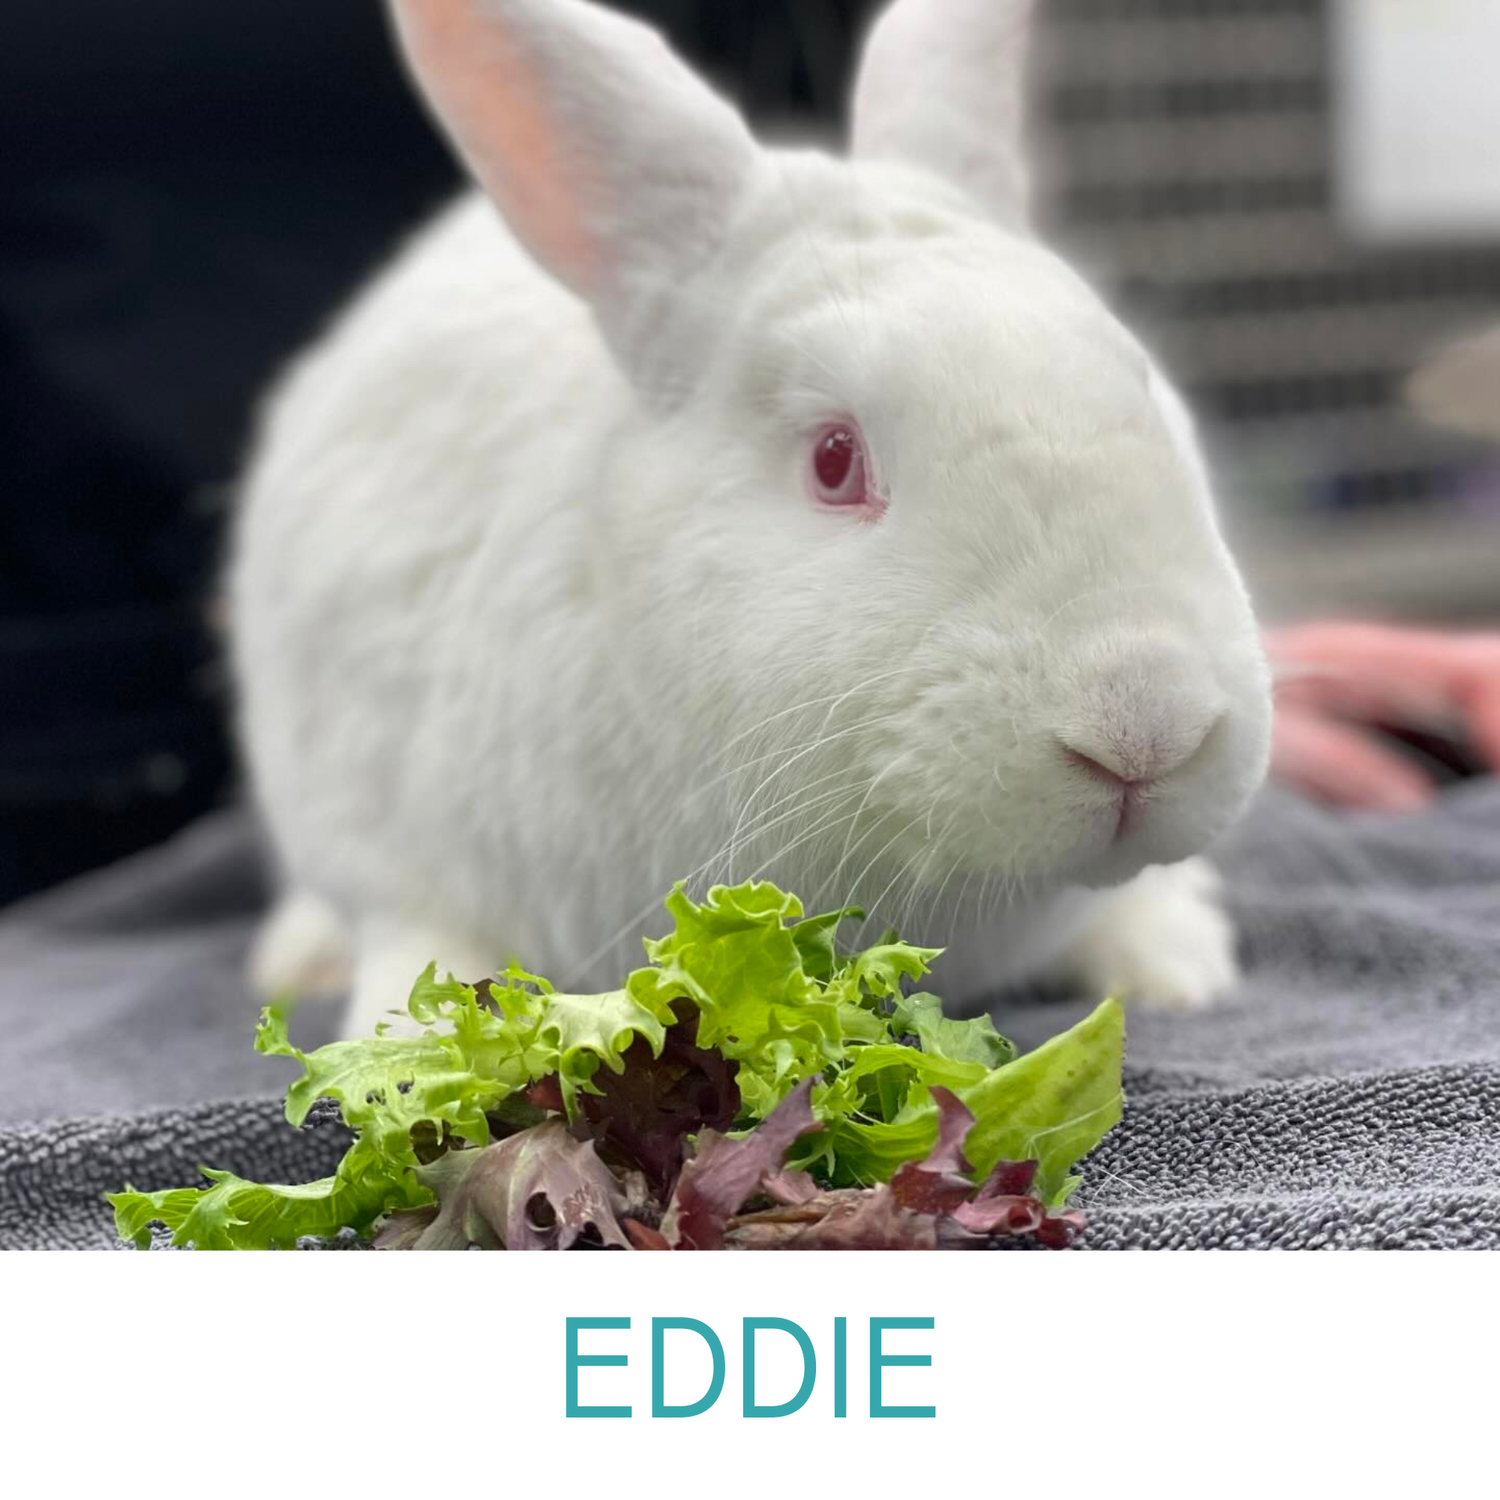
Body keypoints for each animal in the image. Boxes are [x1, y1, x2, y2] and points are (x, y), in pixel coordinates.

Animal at [231, 0, 1273, 1040]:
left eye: (1142, 383)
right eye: (834, 460)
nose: (1148, 729)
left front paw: (1177, 971)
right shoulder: (396, 846)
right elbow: (423, 942)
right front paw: (411, 1040)